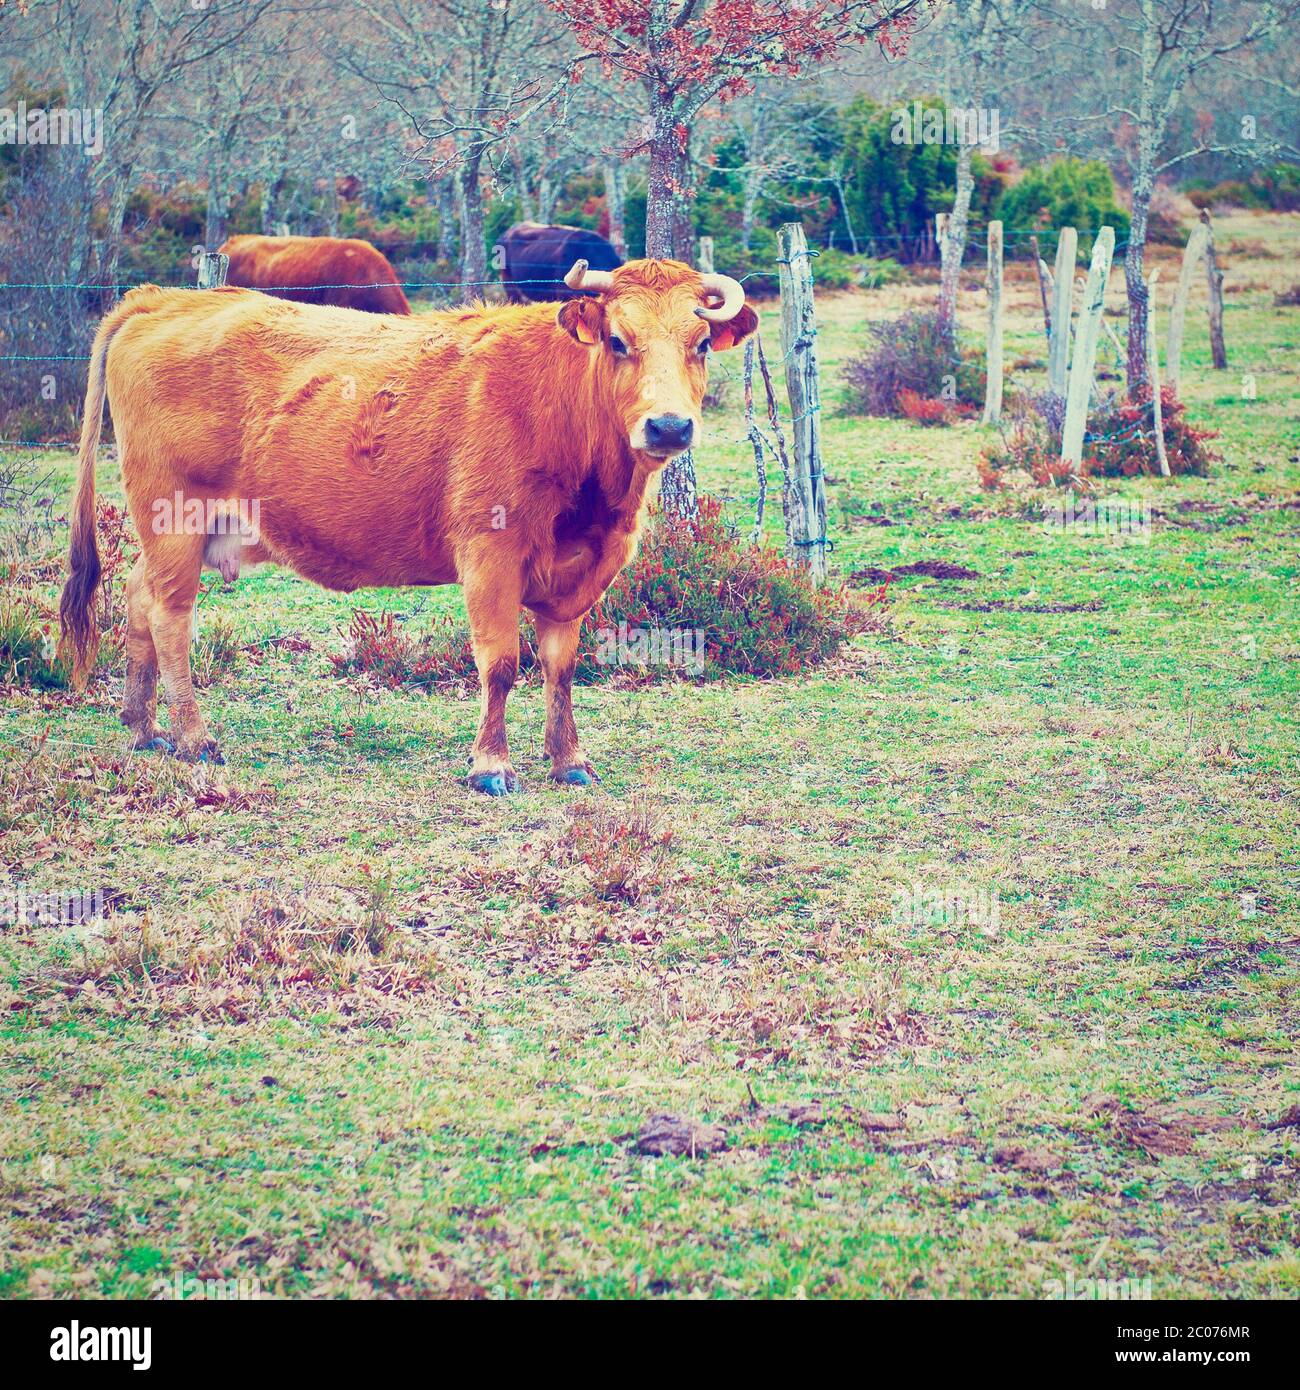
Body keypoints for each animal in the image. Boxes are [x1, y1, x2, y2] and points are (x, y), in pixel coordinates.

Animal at [59, 258, 759, 793]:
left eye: (700, 344)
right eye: (618, 340)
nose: (668, 426)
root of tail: (164, 299)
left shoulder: (578, 575)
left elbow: (559, 668)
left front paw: (569, 761)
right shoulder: (489, 555)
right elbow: (501, 664)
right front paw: (490, 766)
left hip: (177, 534)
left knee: (139, 599)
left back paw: (144, 725)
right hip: (174, 519)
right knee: (171, 615)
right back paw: (192, 736)